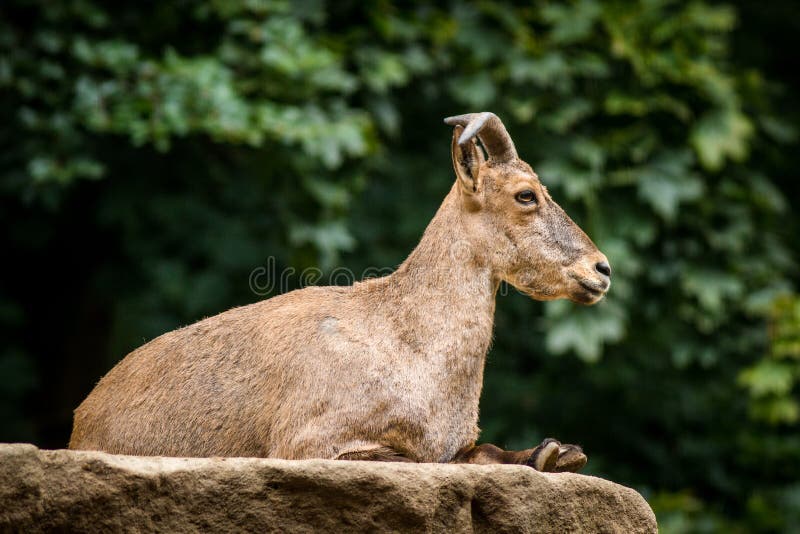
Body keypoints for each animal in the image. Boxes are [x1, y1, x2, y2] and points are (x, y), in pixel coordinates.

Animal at [70, 112, 611, 472]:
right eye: (526, 195)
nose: (601, 269)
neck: (411, 346)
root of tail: (82, 415)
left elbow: (487, 452)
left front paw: (557, 452)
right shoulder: (311, 442)